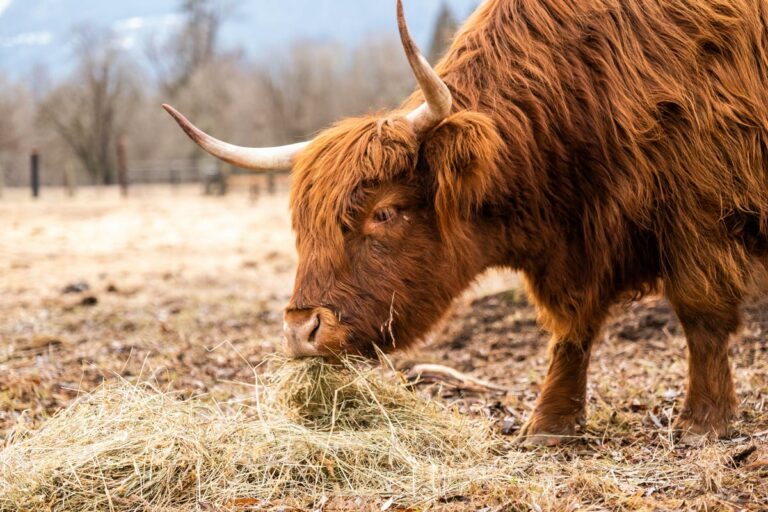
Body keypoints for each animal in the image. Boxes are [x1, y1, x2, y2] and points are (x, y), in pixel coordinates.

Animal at [164, 0, 768, 445]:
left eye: (384, 212)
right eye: (301, 225)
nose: (300, 331)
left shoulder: (701, 207)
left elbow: (699, 311)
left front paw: (704, 421)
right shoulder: (576, 245)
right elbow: (572, 328)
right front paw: (549, 424)